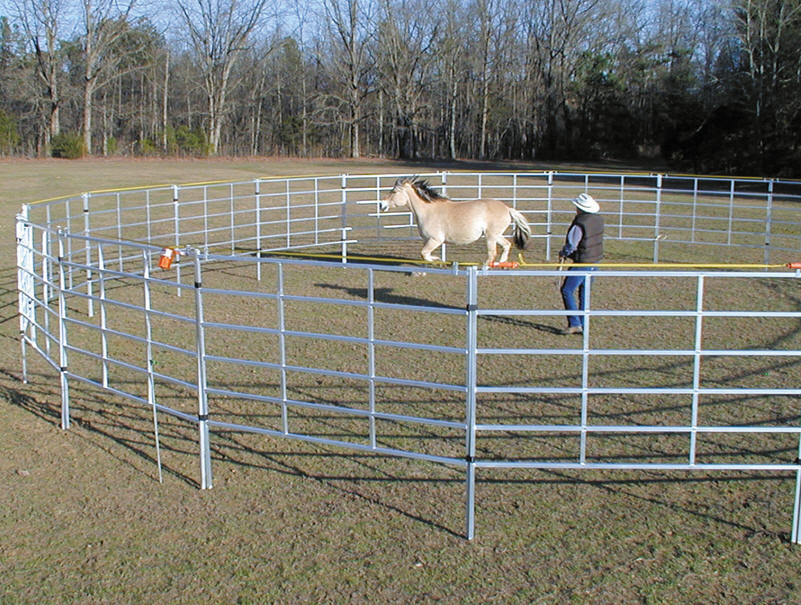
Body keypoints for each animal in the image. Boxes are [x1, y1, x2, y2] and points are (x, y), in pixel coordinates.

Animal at [380, 177, 531, 267]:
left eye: (394, 191)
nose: (381, 204)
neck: (428, 211)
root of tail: (508, 208)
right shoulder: (427, 240)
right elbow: (424, 255)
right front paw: (438, 261)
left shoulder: (435, 240)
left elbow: (424, 254)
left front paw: (439, 261)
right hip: (495, 235)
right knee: (507, 245)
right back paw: (502, 263)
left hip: (491, 237)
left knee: (492, 253)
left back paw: (485, 266)